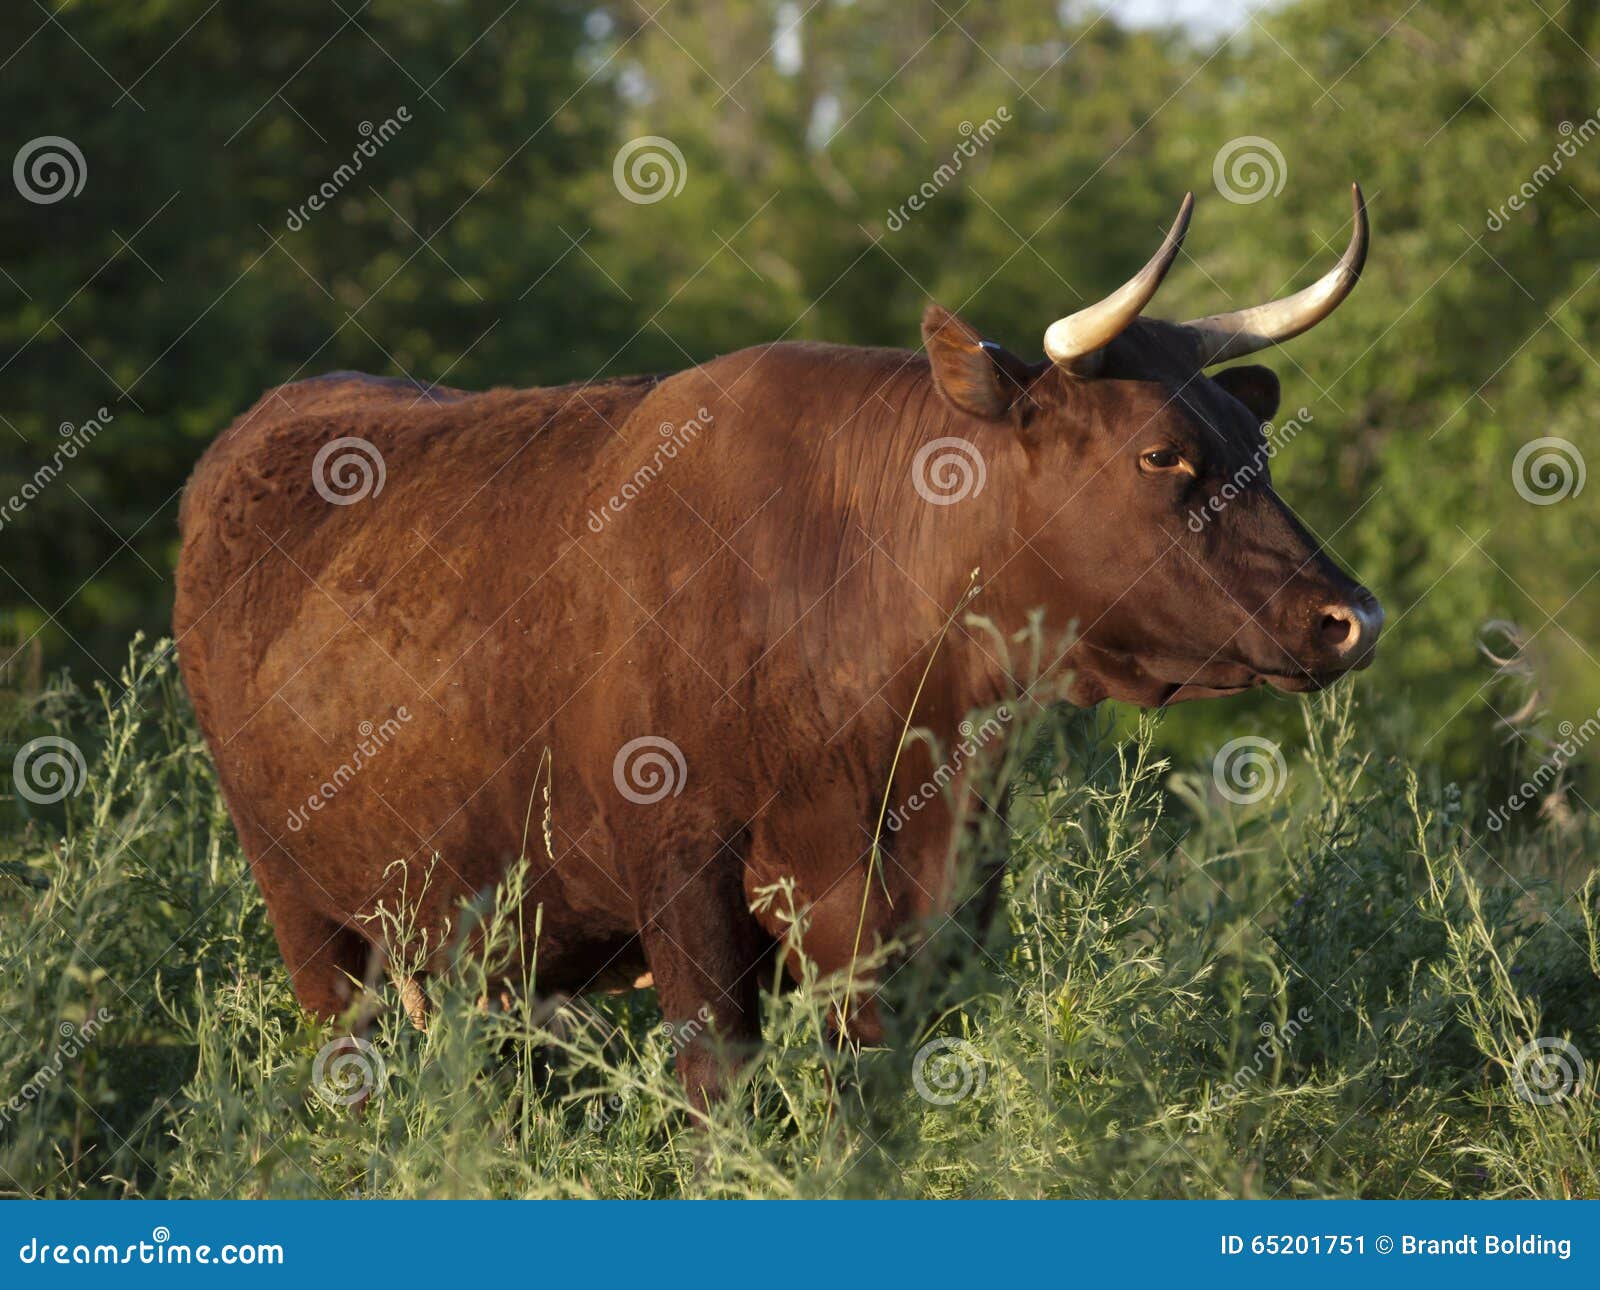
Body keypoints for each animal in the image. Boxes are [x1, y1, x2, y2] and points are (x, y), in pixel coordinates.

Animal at [173, 186, 1382, 1107]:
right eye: (1160, 455)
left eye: (1255, 441)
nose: (1351, 619)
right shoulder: (687, 891)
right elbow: (724, 1100)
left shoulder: (918, 919)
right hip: (310, 920)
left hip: (483, 934)